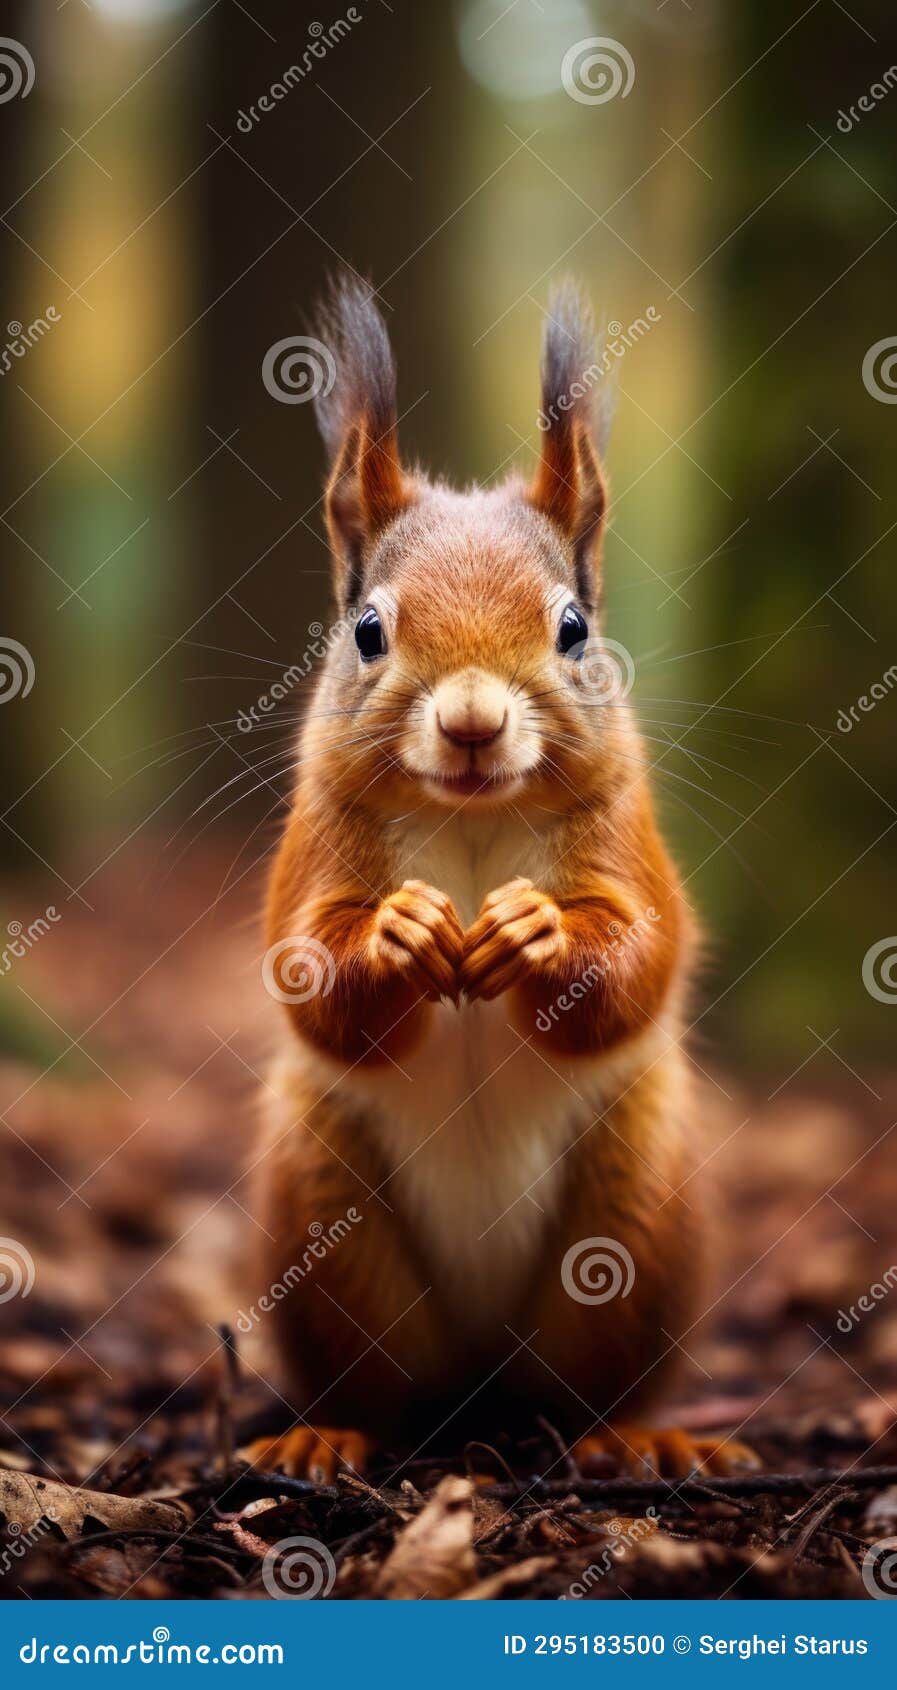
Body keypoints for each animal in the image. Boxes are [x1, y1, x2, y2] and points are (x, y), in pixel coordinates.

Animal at [246, 277, 757, 1485]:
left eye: (572, 627)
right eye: (367, 628)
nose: (473, 722)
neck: (471, 824)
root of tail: (483, 1387)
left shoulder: (627, 835)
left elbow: (646, 951)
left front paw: (534, 934)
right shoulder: (314, 845)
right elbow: (304, 968)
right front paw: (402, 931)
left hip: (633, 1216)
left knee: (587, 1389)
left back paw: (637, 1434)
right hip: (325, 1211)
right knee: (383, 1386)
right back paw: (332, 1431)